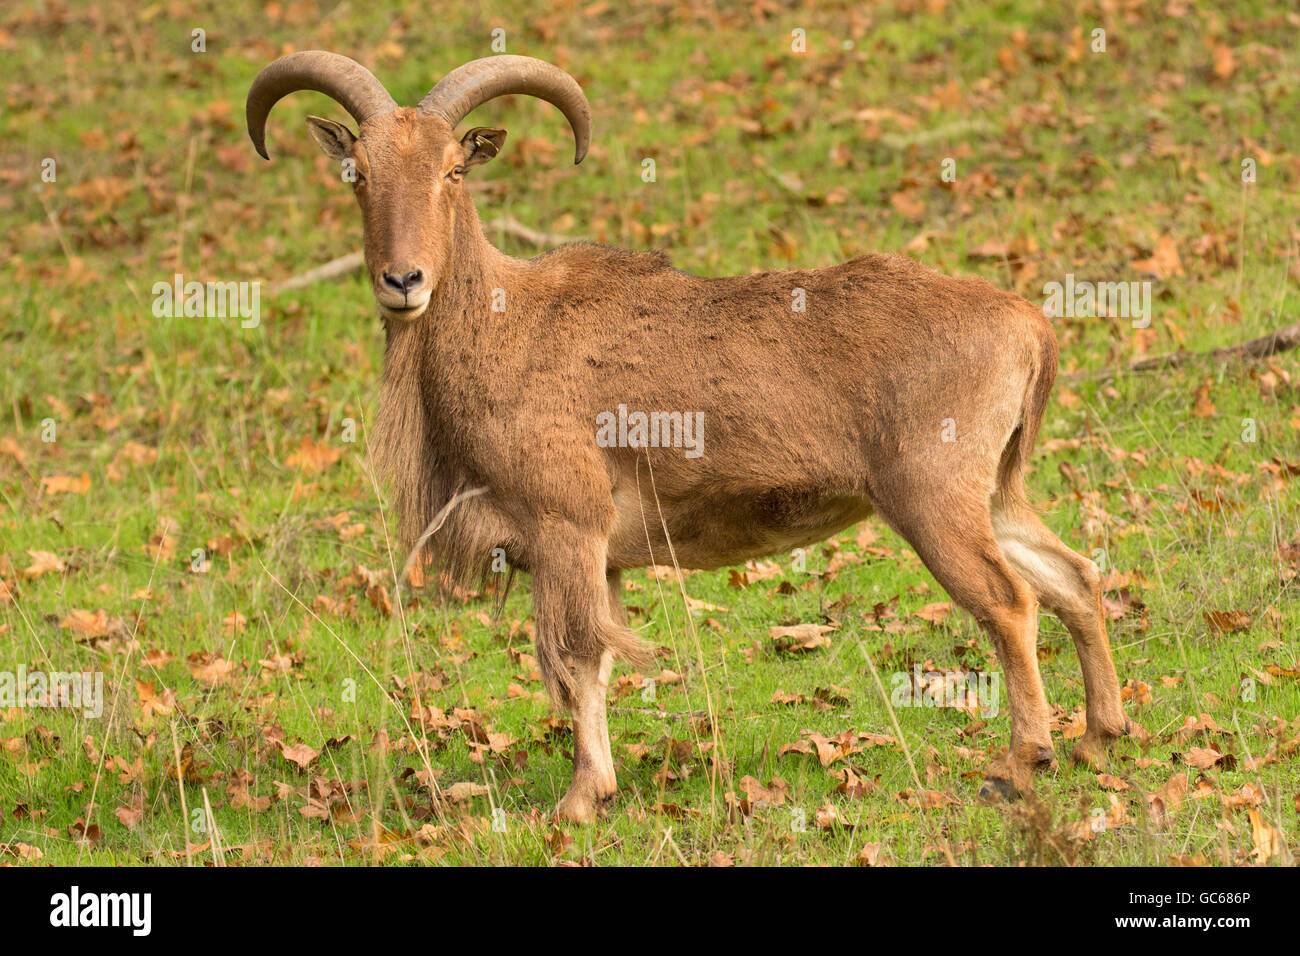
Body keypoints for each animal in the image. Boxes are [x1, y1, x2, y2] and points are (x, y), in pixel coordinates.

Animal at [246, 51, 1128, 822]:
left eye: (452, 171)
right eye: (358, 172)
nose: (403, 281)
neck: (504, 326)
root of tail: (1030, 326)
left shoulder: (565, 527)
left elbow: (573, 658)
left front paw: (578, 802)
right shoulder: (599, 554)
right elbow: (597, 663)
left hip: (934, 499)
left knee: (1010, 603)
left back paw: (1023, 761)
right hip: (995, 493)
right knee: (1073, 576)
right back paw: (1100, 736)